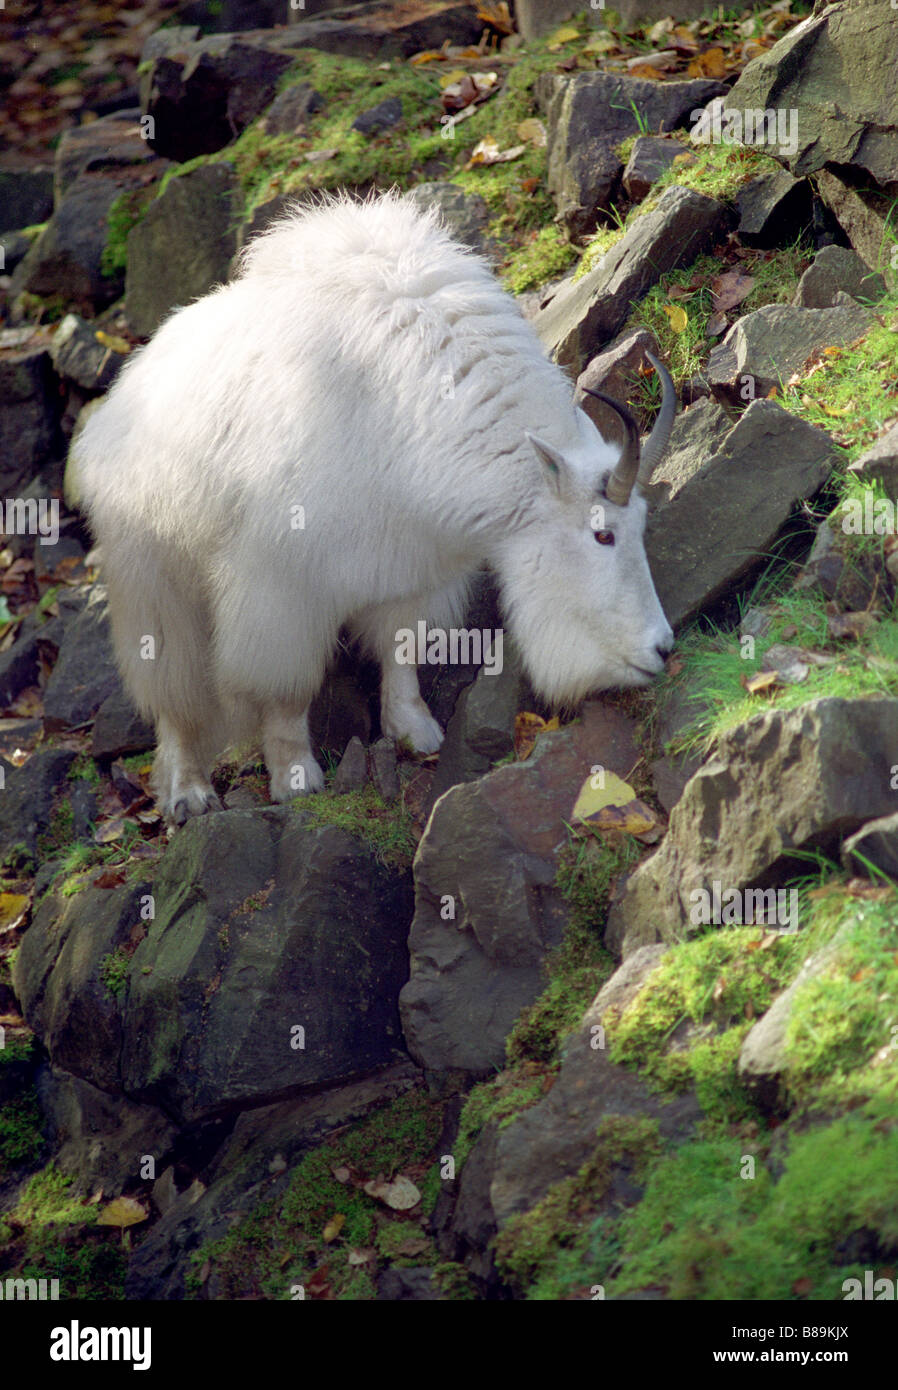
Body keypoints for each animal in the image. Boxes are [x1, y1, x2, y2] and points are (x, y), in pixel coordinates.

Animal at [73, 192, 675, 823]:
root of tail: (117, 403)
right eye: (602, 535)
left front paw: (415, 731)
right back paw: (187, 791)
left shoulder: (415, 564)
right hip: (153, 578)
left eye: (640, 528)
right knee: (172, 690)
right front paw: (297, 778)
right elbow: (284, 692)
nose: (661, 648)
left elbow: (401, 648)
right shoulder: (281, 585)